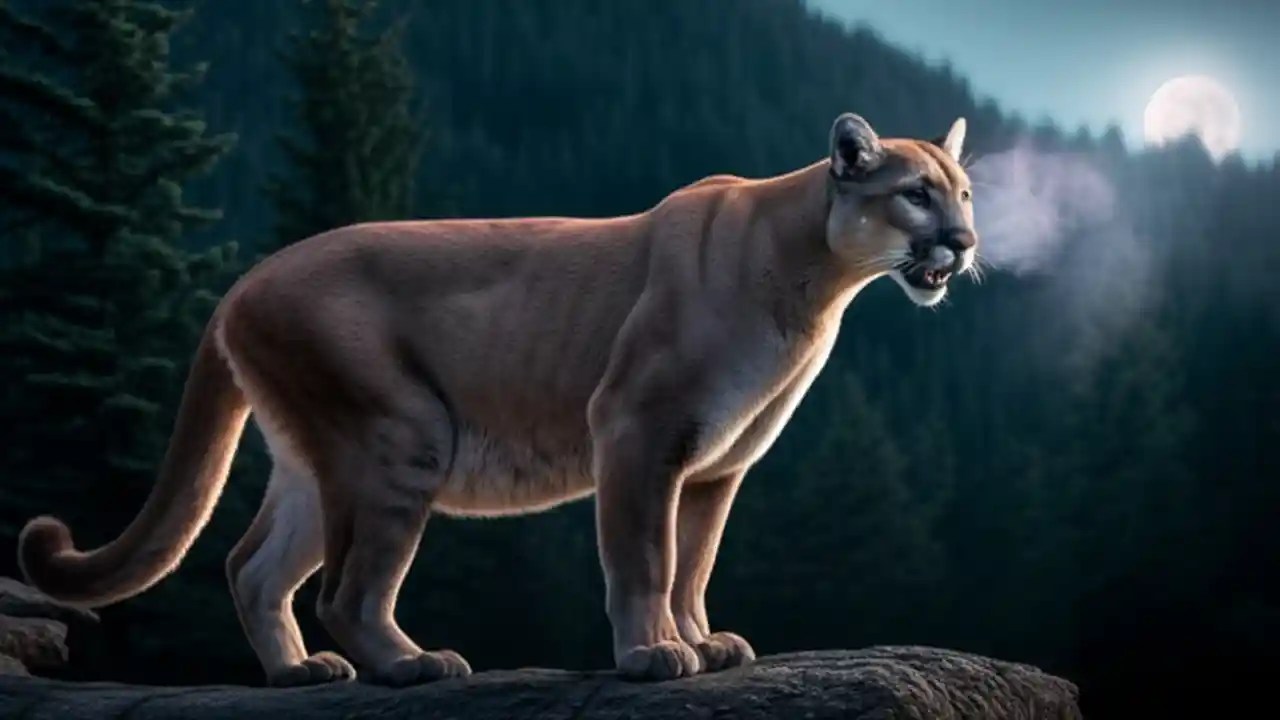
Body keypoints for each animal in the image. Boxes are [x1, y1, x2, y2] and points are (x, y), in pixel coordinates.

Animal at [18, 113, 978, 686]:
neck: (815, 277)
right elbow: (645, 556)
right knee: (345, 590)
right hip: (402, 435)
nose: (966, 242)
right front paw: (651, 653)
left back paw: (299, 673)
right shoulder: (636, 430)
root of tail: (243, 282)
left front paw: (702, 640)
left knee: (252, 566)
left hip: (315, 456)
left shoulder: (716, 465)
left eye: (965, 192)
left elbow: (694, 563)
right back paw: (412, 665)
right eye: (914, 194)